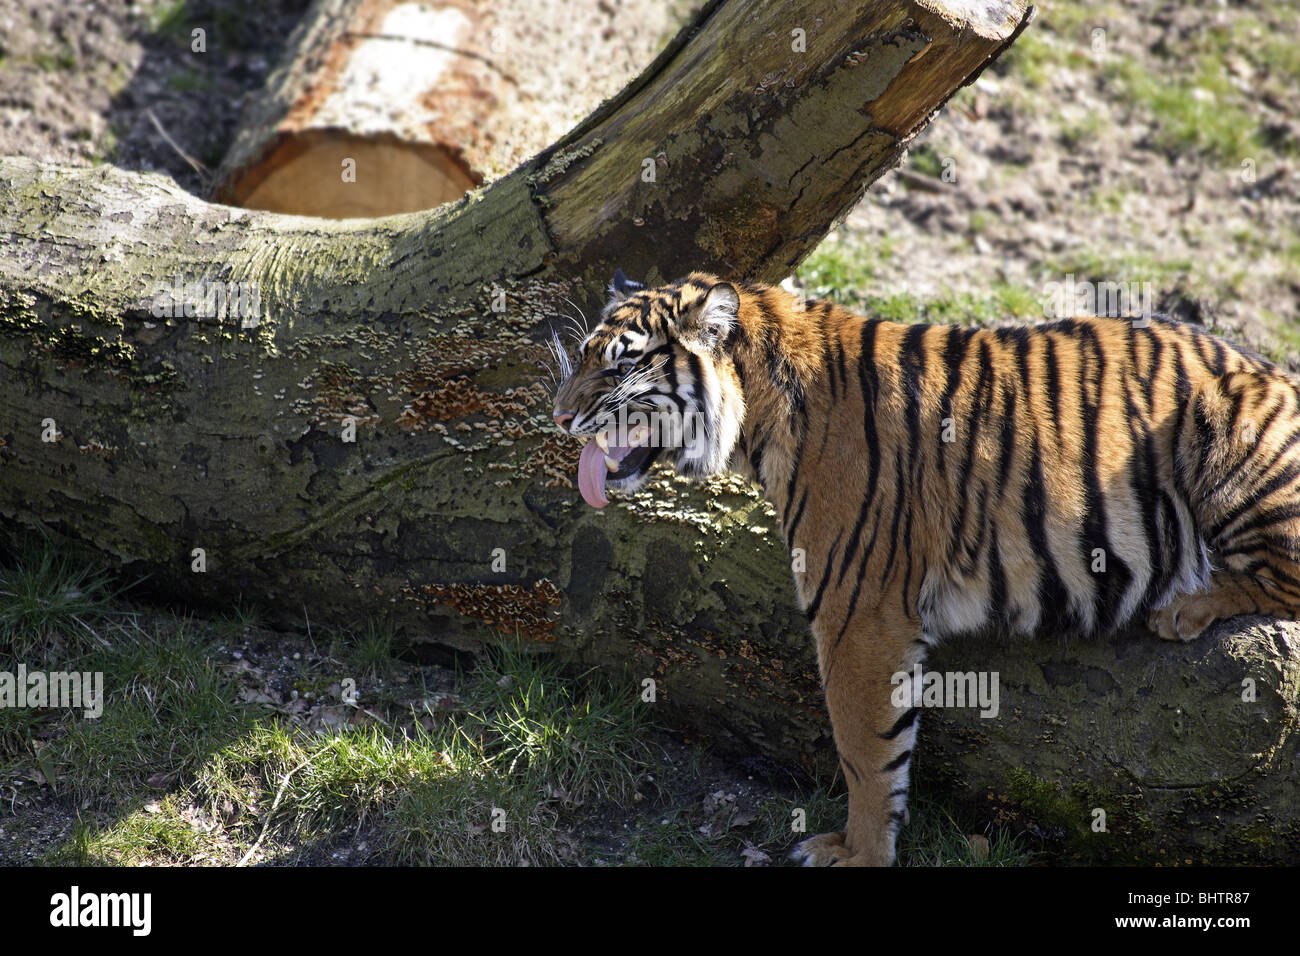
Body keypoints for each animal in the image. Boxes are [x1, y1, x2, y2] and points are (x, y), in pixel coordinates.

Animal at [550, 269, 1300, 866]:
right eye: (581, 356)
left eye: (617, 367)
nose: (557, 418)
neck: (760, 417)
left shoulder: (857, 613)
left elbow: (865, 752)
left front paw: (856, 855)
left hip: (1231, 427)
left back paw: (1185, 606)